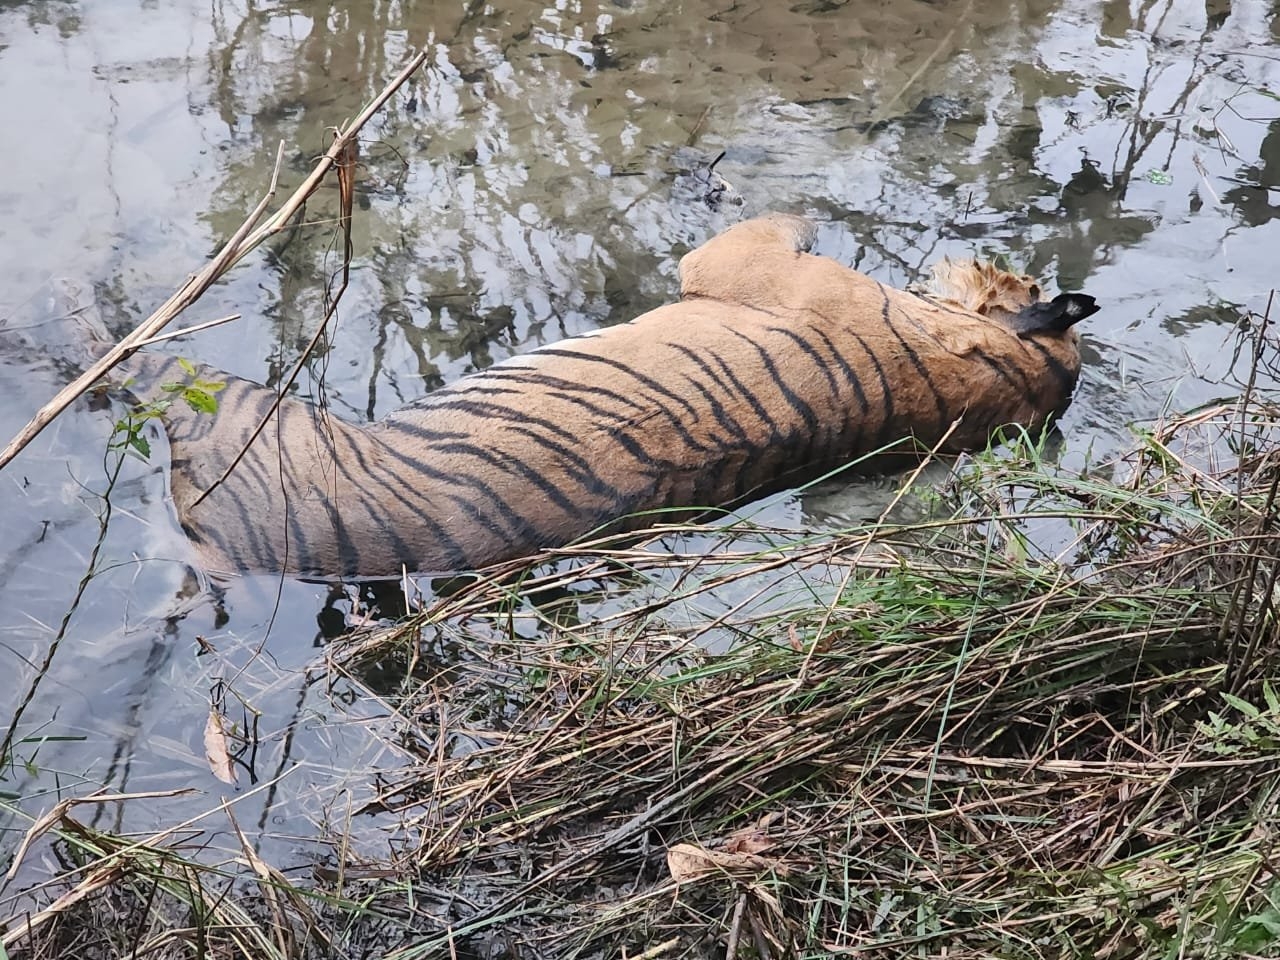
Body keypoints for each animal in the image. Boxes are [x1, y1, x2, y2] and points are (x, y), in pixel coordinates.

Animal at [24, 212, 1095, 579]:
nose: (976, 255)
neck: (954, 381)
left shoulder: (738, 261)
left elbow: (771, 221)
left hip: (230, 402)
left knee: (135, 358)